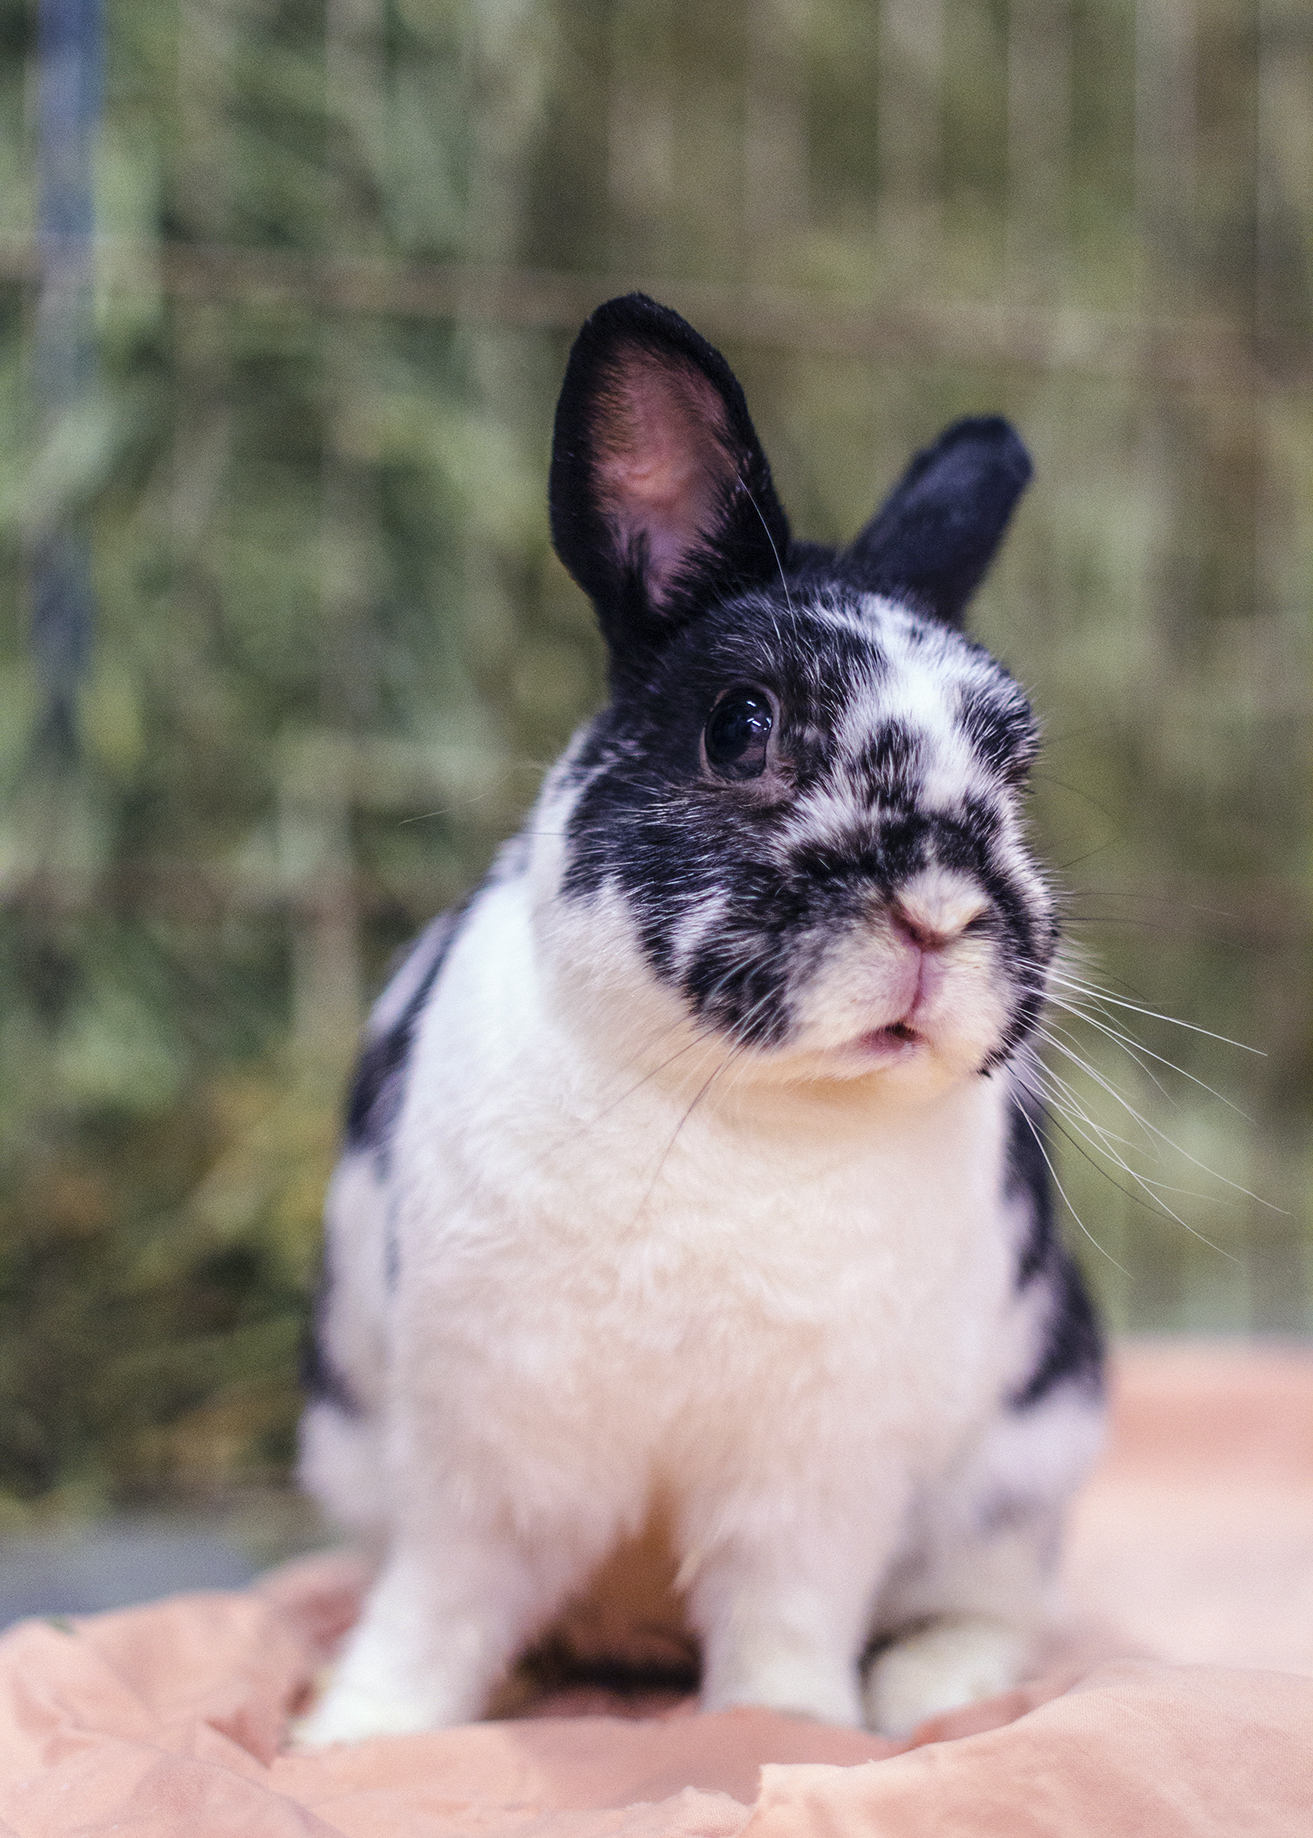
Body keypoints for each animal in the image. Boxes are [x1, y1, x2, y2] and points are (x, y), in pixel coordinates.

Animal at [295, 292, 1105, 1747]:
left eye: (1009, 773)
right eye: (741, 724)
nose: (940, 911)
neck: (733, 1110)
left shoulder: (815, 1480)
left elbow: (785, 1613)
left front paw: (787, 1728)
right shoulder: (485, 1449)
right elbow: (439, 1600)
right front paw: (355, 1736)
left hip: (1023, 1464)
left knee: (991, 1605)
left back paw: (924, 1688)